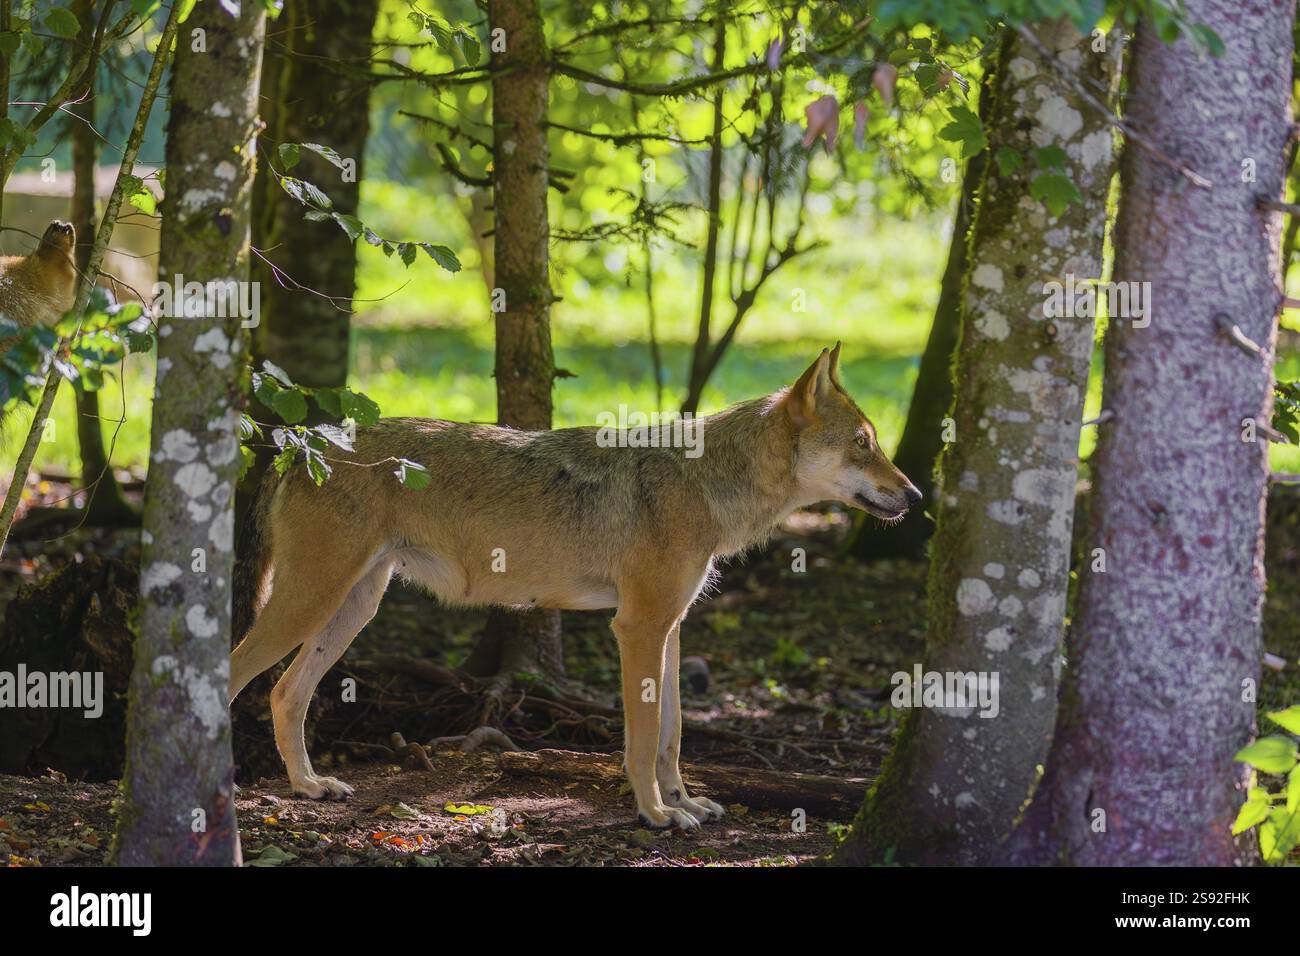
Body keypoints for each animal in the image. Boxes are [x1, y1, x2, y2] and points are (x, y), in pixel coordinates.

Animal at [229, 343, 921, 829]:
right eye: (863, 444)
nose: (916, 496)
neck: (709, 485)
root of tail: (304, 445)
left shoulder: (670, 629)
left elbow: (672, 736)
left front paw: (686, 802)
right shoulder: (637, 627)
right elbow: (641, 741)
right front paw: (656, 814)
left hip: (353, 609)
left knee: (285, 694)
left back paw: (308, 787)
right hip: (311, 603)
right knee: (236, 673)